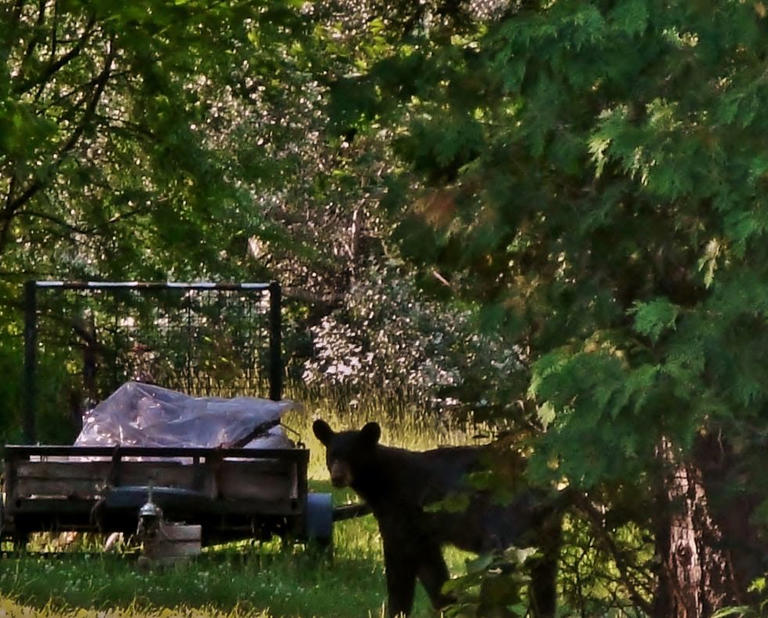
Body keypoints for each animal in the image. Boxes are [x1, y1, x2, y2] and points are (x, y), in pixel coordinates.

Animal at [312, 419, 564, 618]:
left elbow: (399, 568)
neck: (379, 483)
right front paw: (448, 604)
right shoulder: (423, 532)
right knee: (544, 583)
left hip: (505, 525)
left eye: (353, 456)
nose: (338, 476)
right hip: (547, 538)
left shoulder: (400, 511)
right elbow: (433, 571)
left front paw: (397, 610)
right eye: (332, 455)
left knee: (499, 578)